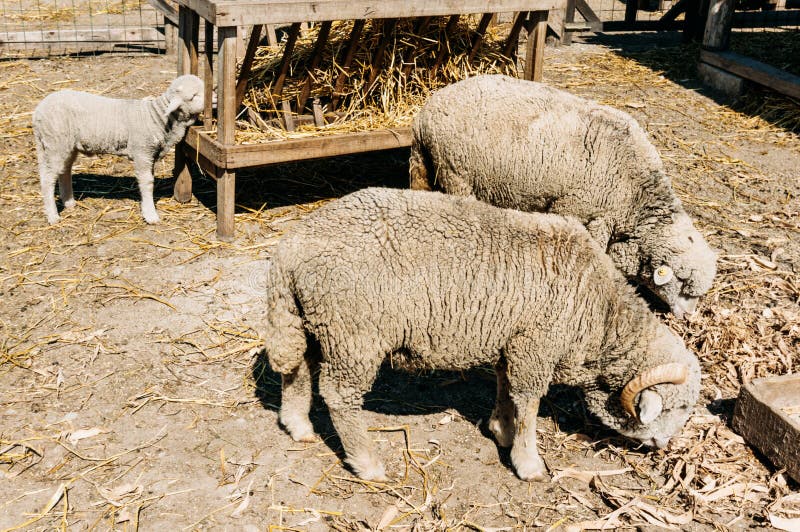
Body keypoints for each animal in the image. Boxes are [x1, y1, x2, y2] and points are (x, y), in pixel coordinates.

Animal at [33, 74, 204, 225]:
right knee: (47, 179)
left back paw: (69, 202)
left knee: (64, 171)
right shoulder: (142, 153)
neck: (156, 117)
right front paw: (150, 215)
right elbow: (147, 182)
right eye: (194, 96)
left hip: (65, 146)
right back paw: (53, 216)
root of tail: (38, 112)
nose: (211, 99)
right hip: (55, 143)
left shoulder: (149, 155)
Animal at [262, 187, 701, 482]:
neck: (599, 315)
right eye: (677, 407)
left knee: (297, 369)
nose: (664, 448)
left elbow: (505, 389)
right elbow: (528, 404)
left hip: (313, 321)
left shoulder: (513, 342)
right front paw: (528, 463)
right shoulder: (535, 347)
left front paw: (500, 430)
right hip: (354, 334)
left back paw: (298, 426)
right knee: (340, 396)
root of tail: (292, 248)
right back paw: (367, 464)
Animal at [409, 74, 716, 318]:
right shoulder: (577, 209)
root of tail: (425, 114)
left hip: (428, 167)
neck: (634, 191)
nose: (690, 317)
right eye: (681, 280)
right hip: (456, 173)